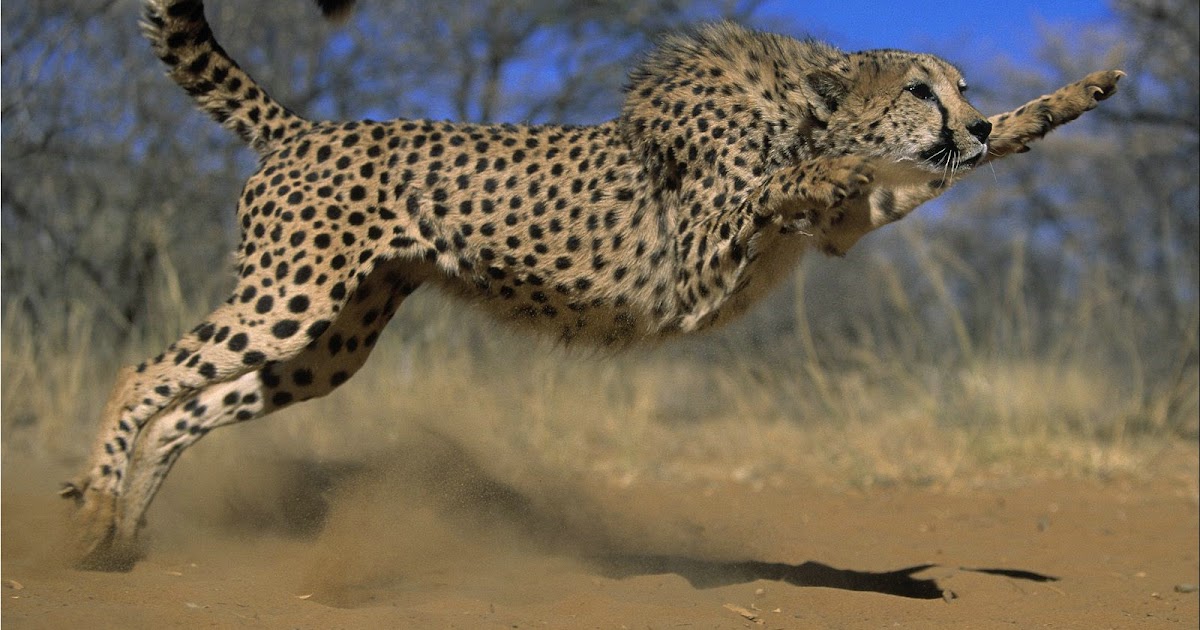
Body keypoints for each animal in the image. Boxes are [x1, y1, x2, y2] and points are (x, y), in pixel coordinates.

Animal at [60, 0, 1123, 571]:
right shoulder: (700, 254)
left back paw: (128, 530)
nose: (967, 121)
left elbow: (925, 173)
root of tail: (306, 126)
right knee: (144, 374)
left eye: (961, 88)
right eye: (918, 89)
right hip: (291, 300)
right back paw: (94, 514)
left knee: (187, 408)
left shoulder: (845, 228)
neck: (800, 112)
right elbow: (810, 179)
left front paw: (1068, 100)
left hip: (331, 343)